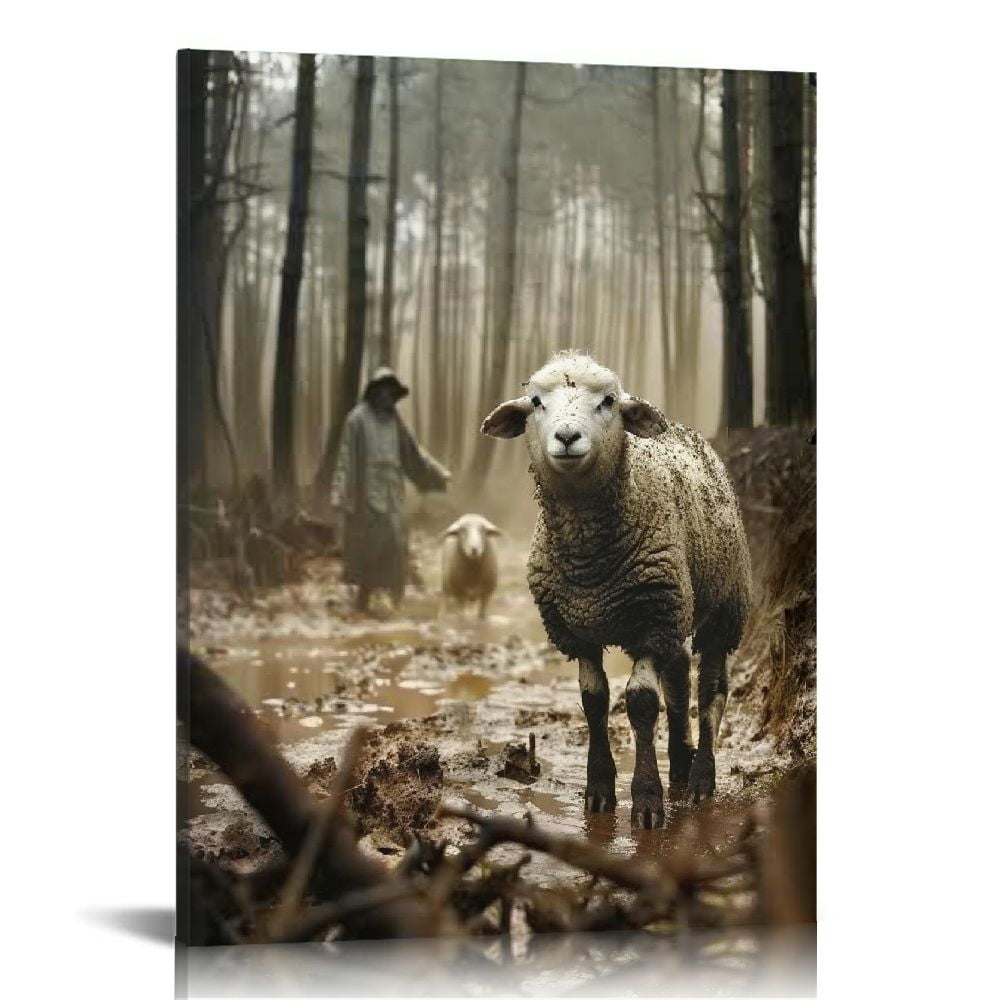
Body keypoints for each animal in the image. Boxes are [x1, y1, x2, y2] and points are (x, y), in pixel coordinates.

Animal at [481, 351, 752, 827]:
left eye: (608, 401)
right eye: (535, 401)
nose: (567, 437)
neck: (591, 564)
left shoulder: (650, 620)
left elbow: (641, 703)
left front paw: (646, 800)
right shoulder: (578, 631)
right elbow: (593, 702)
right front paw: (599, 790)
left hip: (722, 607)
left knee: (712, 690)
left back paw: (701, 777)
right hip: (677, 608)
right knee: (678, 677)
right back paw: (680, 762)